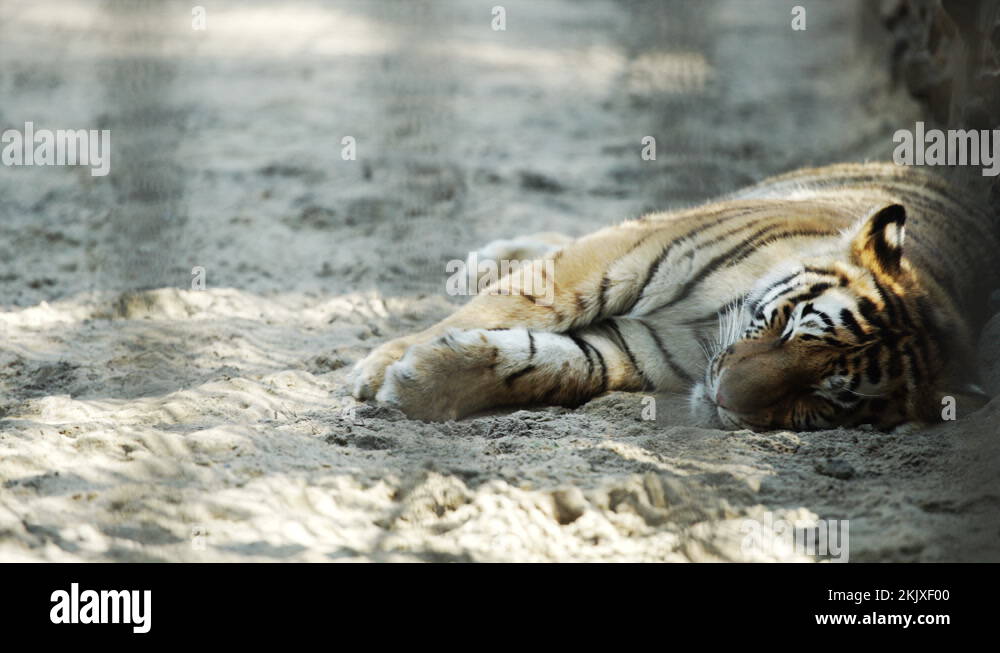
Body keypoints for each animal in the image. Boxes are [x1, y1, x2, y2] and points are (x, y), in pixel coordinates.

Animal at [349, 162, 999, 430]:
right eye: (790, 326)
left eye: (833, 397)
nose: (726, 397)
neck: (707, 327)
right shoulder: (618, 255)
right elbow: (517, 305)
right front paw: (378, 368)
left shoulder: (630, 349)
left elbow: (546, 363)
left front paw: (419, 382)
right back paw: (490, 257)